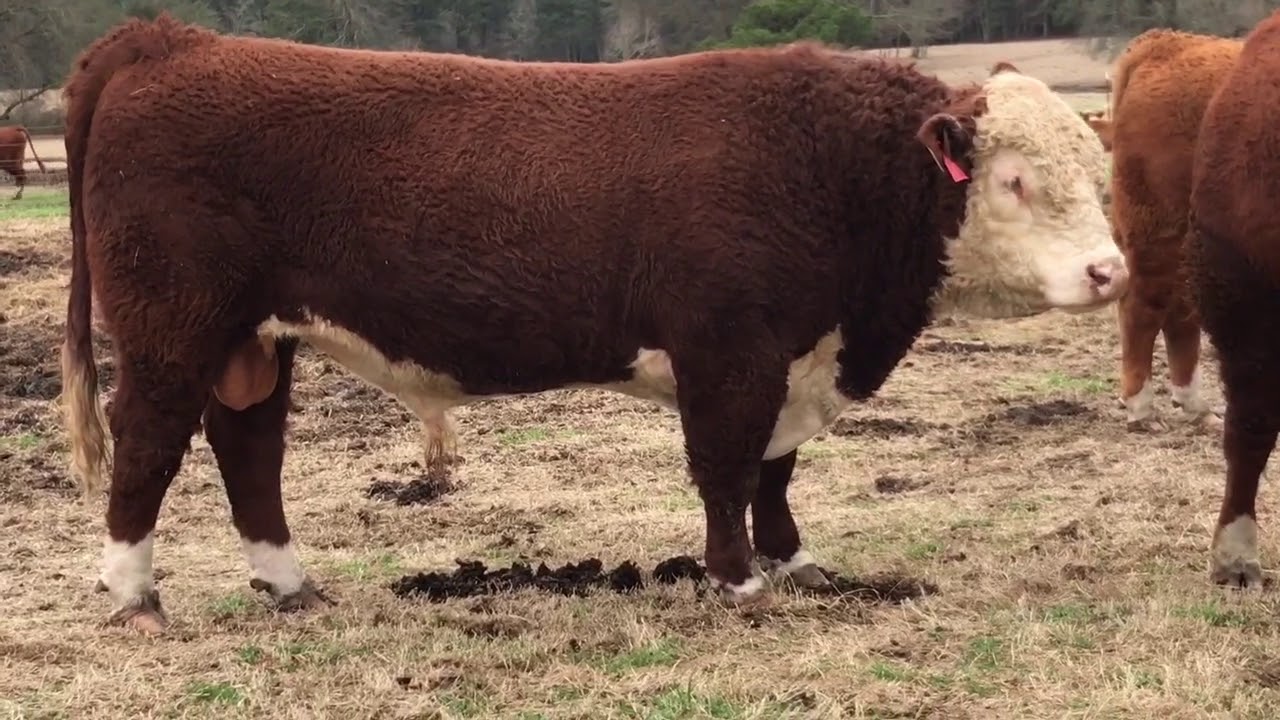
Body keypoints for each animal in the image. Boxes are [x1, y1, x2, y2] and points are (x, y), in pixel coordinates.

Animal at [60, 14, 1126, 634]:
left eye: (1096, 170)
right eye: (1015, 180)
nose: (1109, 271)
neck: (825, 165)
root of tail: (169, 40)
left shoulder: (794, 355)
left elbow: (776, 469)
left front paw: (797, 560)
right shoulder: (729, 351)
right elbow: (728, 467)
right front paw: (738, 581)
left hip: (255, 339)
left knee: (248, 448)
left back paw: (288, 583)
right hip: (172, 328)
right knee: (150, 441)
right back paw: (133, 594)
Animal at [1101, 29, 1241, 431]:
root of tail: (1165, 42)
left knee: (1179, 308)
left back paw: (1194, 404)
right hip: (1160, 227)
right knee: (1143, 307)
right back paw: (1141, 407)